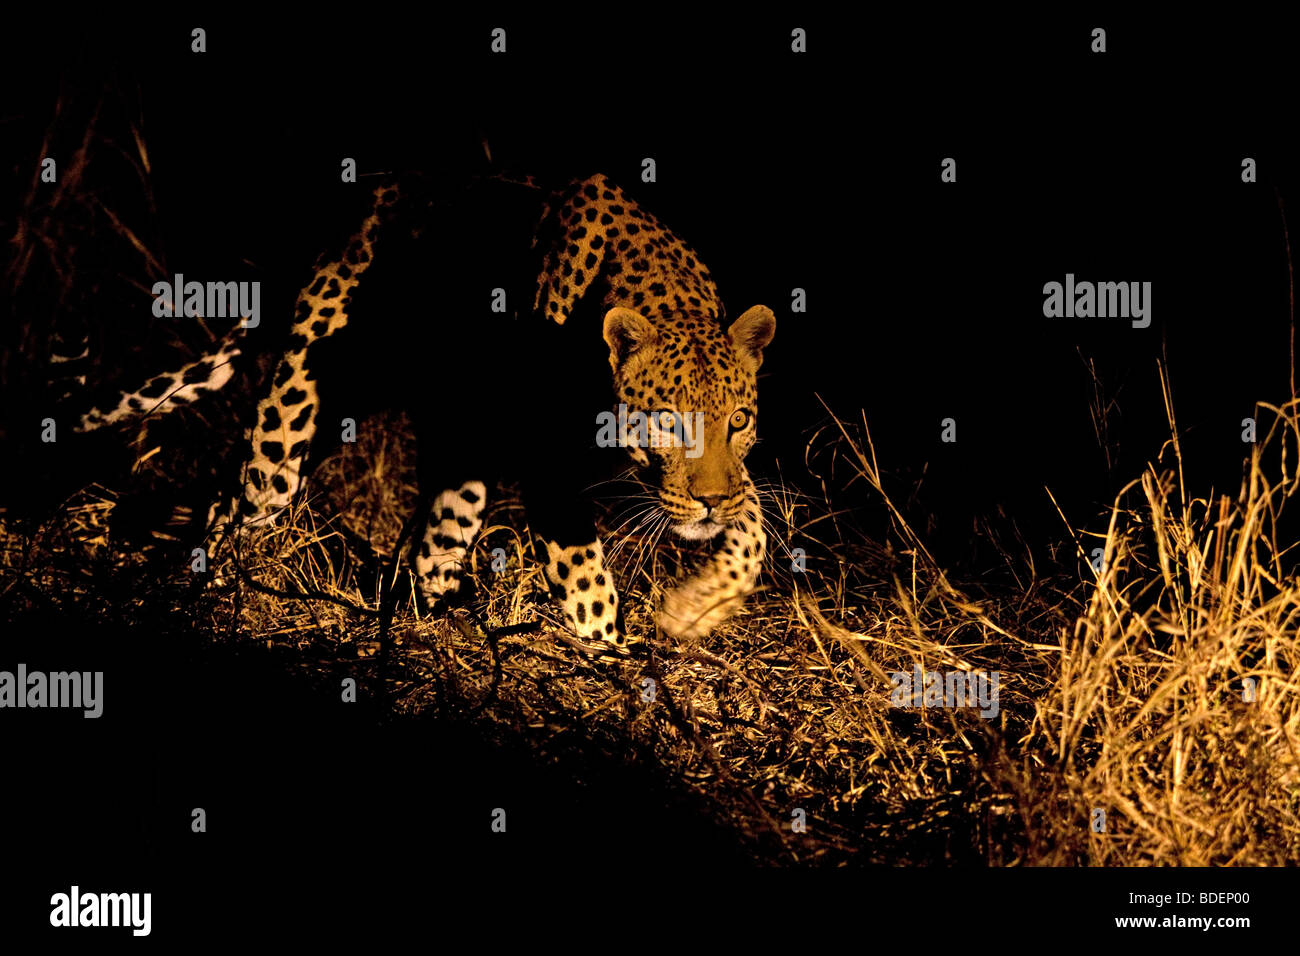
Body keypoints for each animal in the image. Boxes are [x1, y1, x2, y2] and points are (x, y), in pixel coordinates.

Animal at [73, 171, 776, 650]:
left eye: (739, 421)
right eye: (667, 420)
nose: (709, 502)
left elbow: (754, 526)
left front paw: (695, 608)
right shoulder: (546, 461)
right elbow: (584, 574)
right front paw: (611, 655)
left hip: (456, 428)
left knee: (437, 532)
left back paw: (435, 611)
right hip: (294, 416)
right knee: (240, 496)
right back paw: (205, 590)